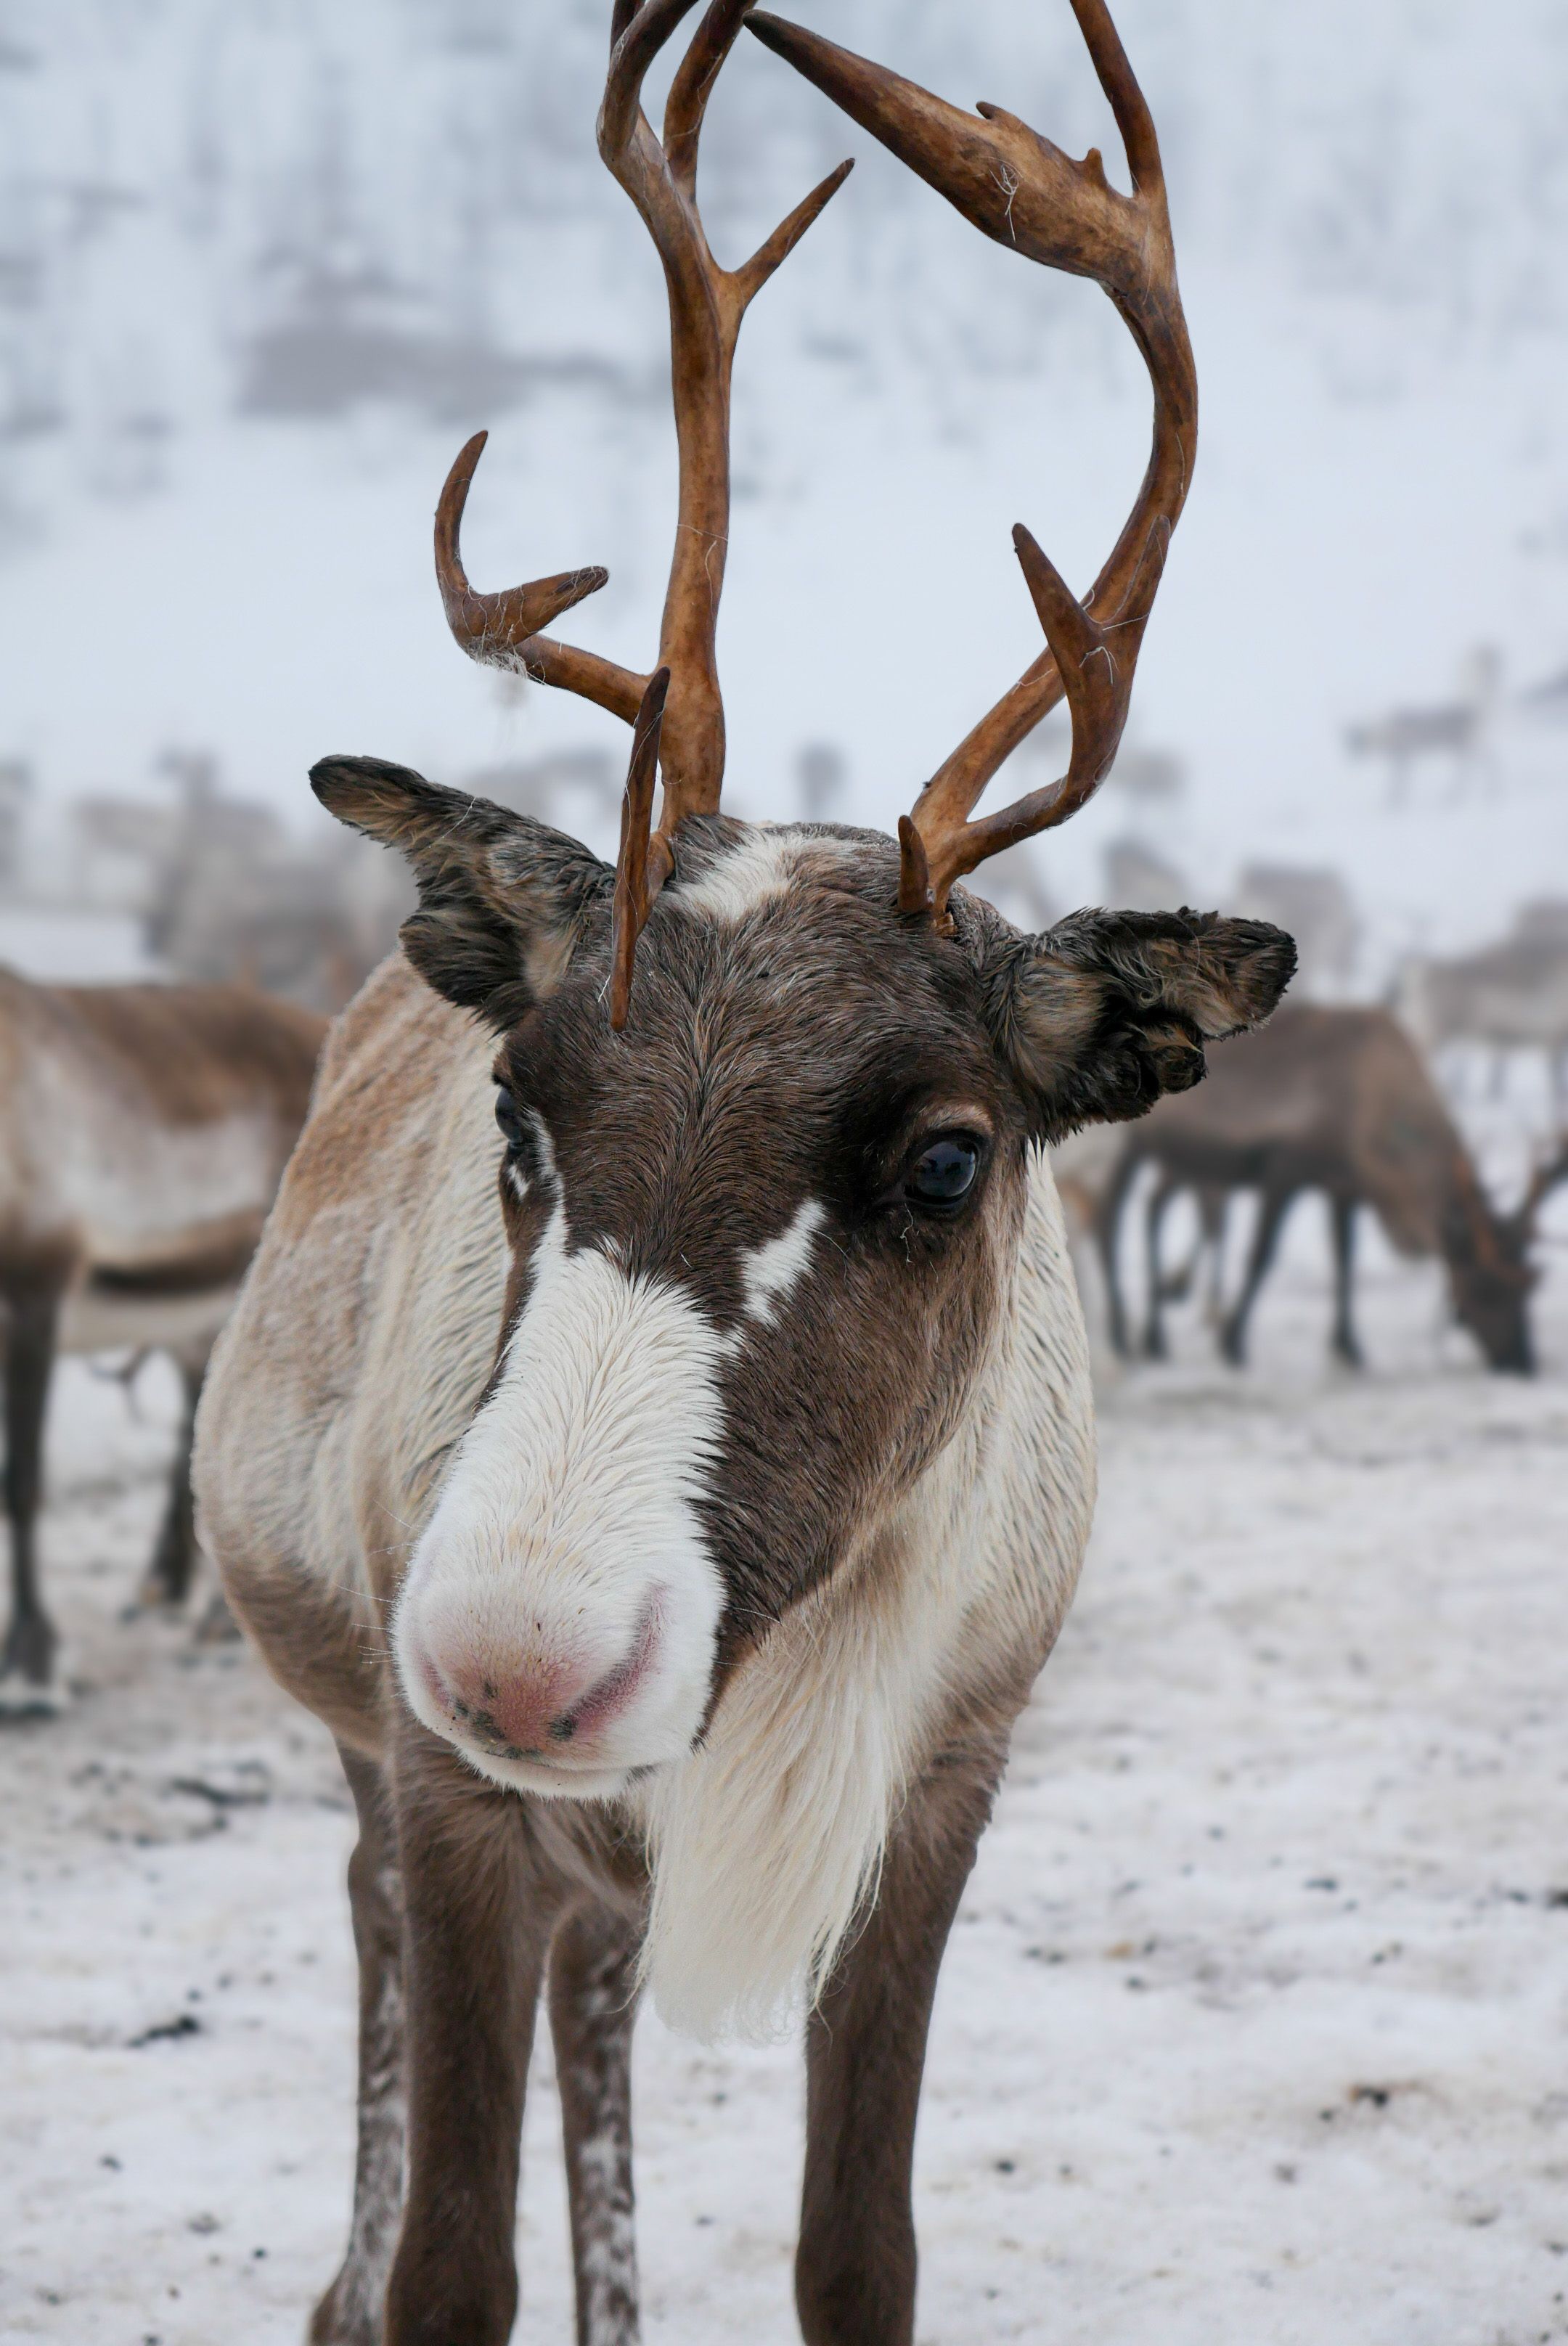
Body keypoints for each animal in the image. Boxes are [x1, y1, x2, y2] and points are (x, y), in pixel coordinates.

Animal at [191, 7, 1293, 2341]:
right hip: (367, 1723)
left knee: (602, 1993)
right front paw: (395, 2268)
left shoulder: (944, 1783)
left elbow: (856, 2251)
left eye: (950, 1157)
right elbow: (446, 2268)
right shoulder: (446, 1784)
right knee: (378, 1937)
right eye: (518, 1112)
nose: (521, 1653)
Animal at [1093, 1004, 1566, 1374]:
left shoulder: (1343, 1185)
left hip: (1177, 1159)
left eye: (1528, 1287)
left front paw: (1349, 1346)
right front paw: (1233, 1343)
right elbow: (1262, 1255)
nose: (1521, 1362)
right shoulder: (1285, 1165)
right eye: (1486, 1285)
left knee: (1152, 1208)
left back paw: (1153, 1334)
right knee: (1109, 1216)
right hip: (1124, 1145)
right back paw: (1121, 1334)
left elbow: (1345, 1259)